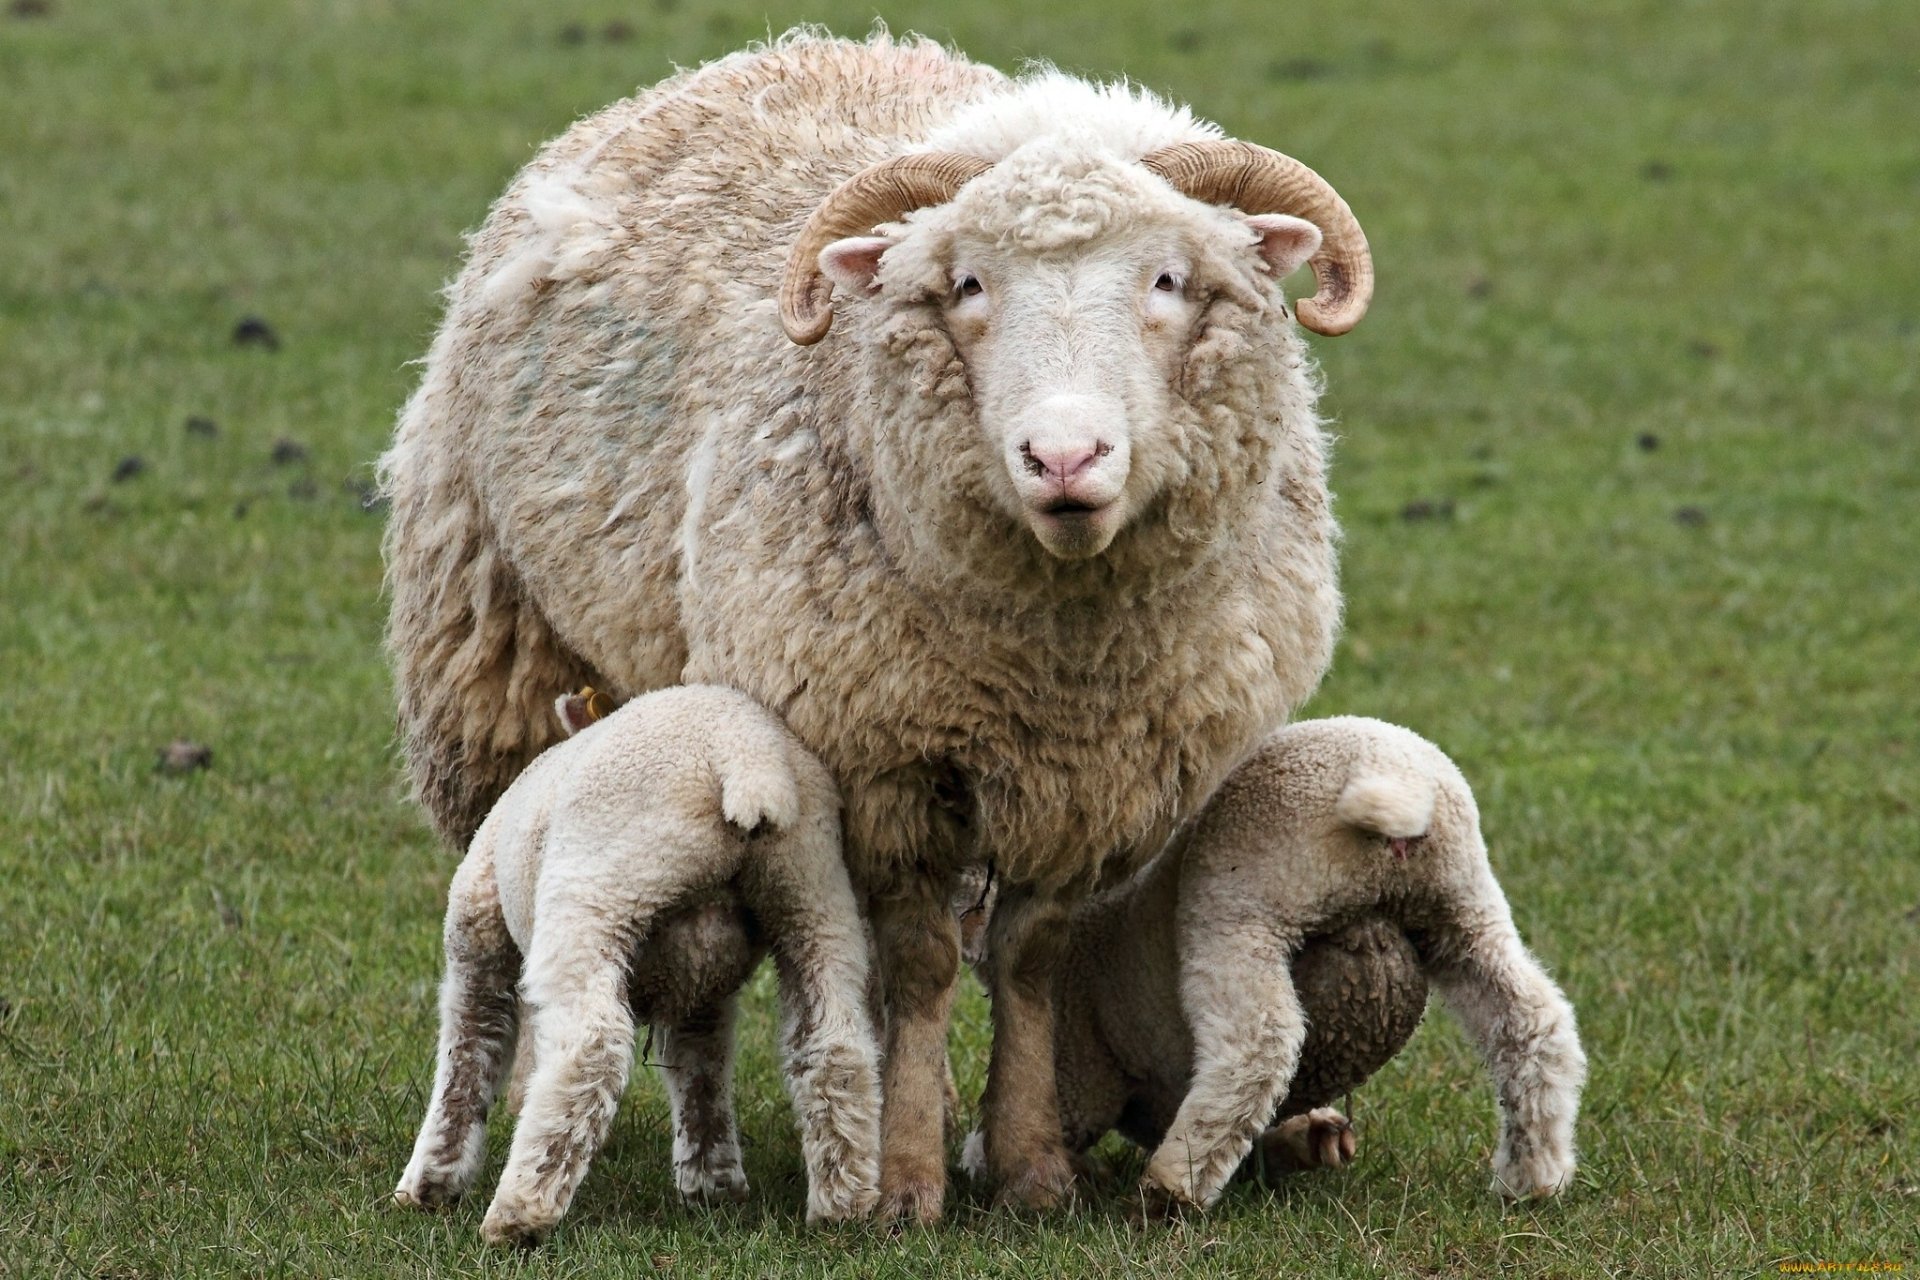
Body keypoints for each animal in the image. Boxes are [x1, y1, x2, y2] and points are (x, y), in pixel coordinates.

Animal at [392, 685, 881, 1245]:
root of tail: (746, 754)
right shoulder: (701, 990)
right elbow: (699, 1068)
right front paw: (712, 1181)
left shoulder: (478, 932)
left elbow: (467, 1055)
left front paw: (430, 1181)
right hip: (815, 894)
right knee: (835, 1046)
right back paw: (843, 1203)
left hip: (596, 891)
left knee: (590, 1049)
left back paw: (520, 1211)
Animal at [966, 716, 1586, 1213]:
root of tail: (1392, 780)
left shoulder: (1075, 1057)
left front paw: (985, 1167)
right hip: (1462, 904)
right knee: (1533, 1024)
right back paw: (1535, 1175)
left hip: (1243, 906)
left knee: (1258, 1048)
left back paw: (1173, 1187)